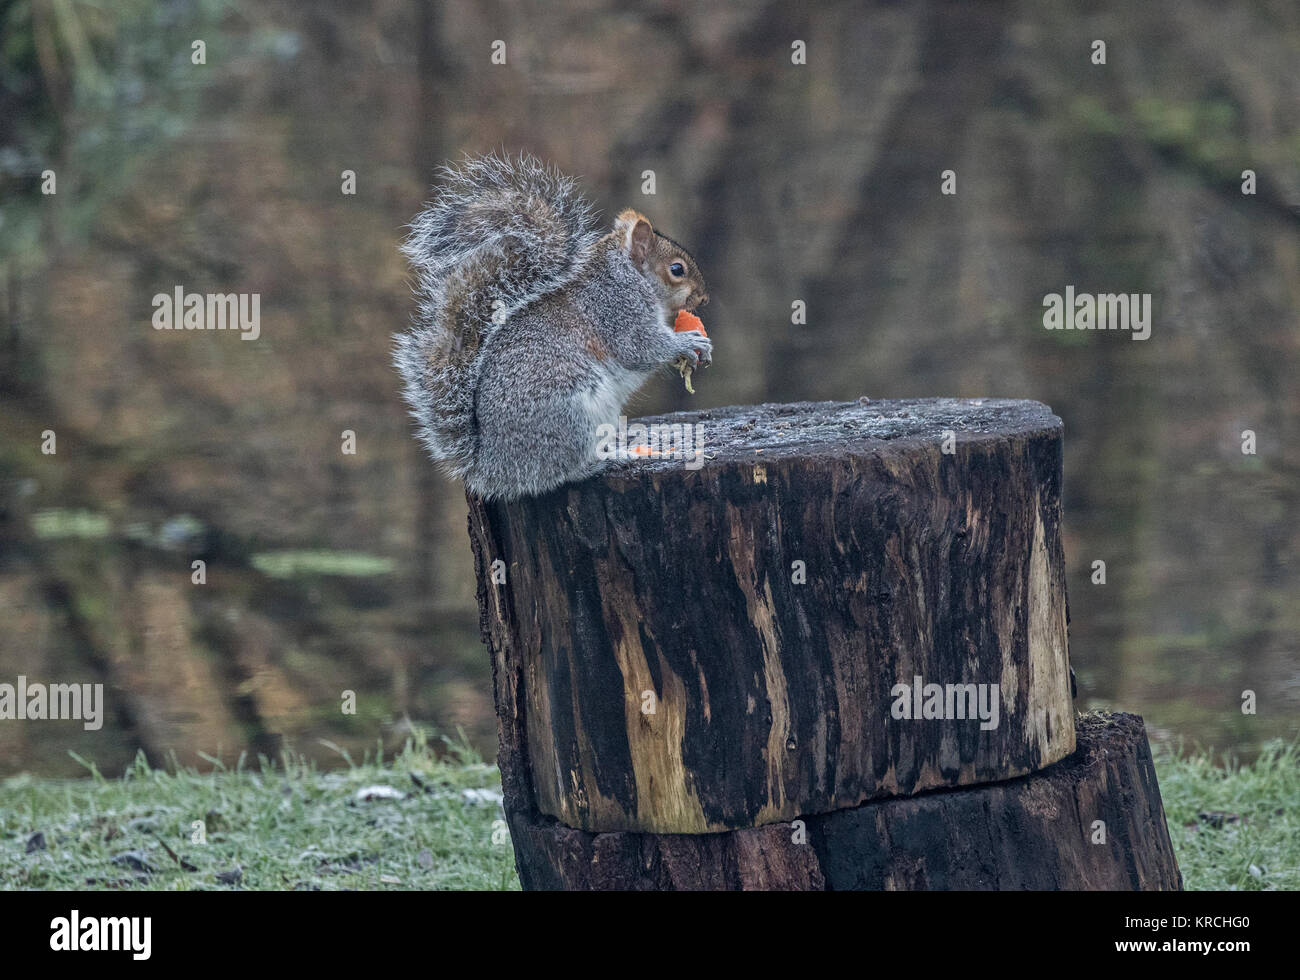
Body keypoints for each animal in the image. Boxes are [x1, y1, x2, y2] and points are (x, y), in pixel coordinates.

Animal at [394, 153, 712, 500]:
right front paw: (689, 342)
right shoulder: (616, 308)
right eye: (677, 270)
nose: (704, 297)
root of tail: (491, 468)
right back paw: (605, 461)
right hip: (568, 417)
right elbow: (639, 347)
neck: (626, 273)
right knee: (558, 473)